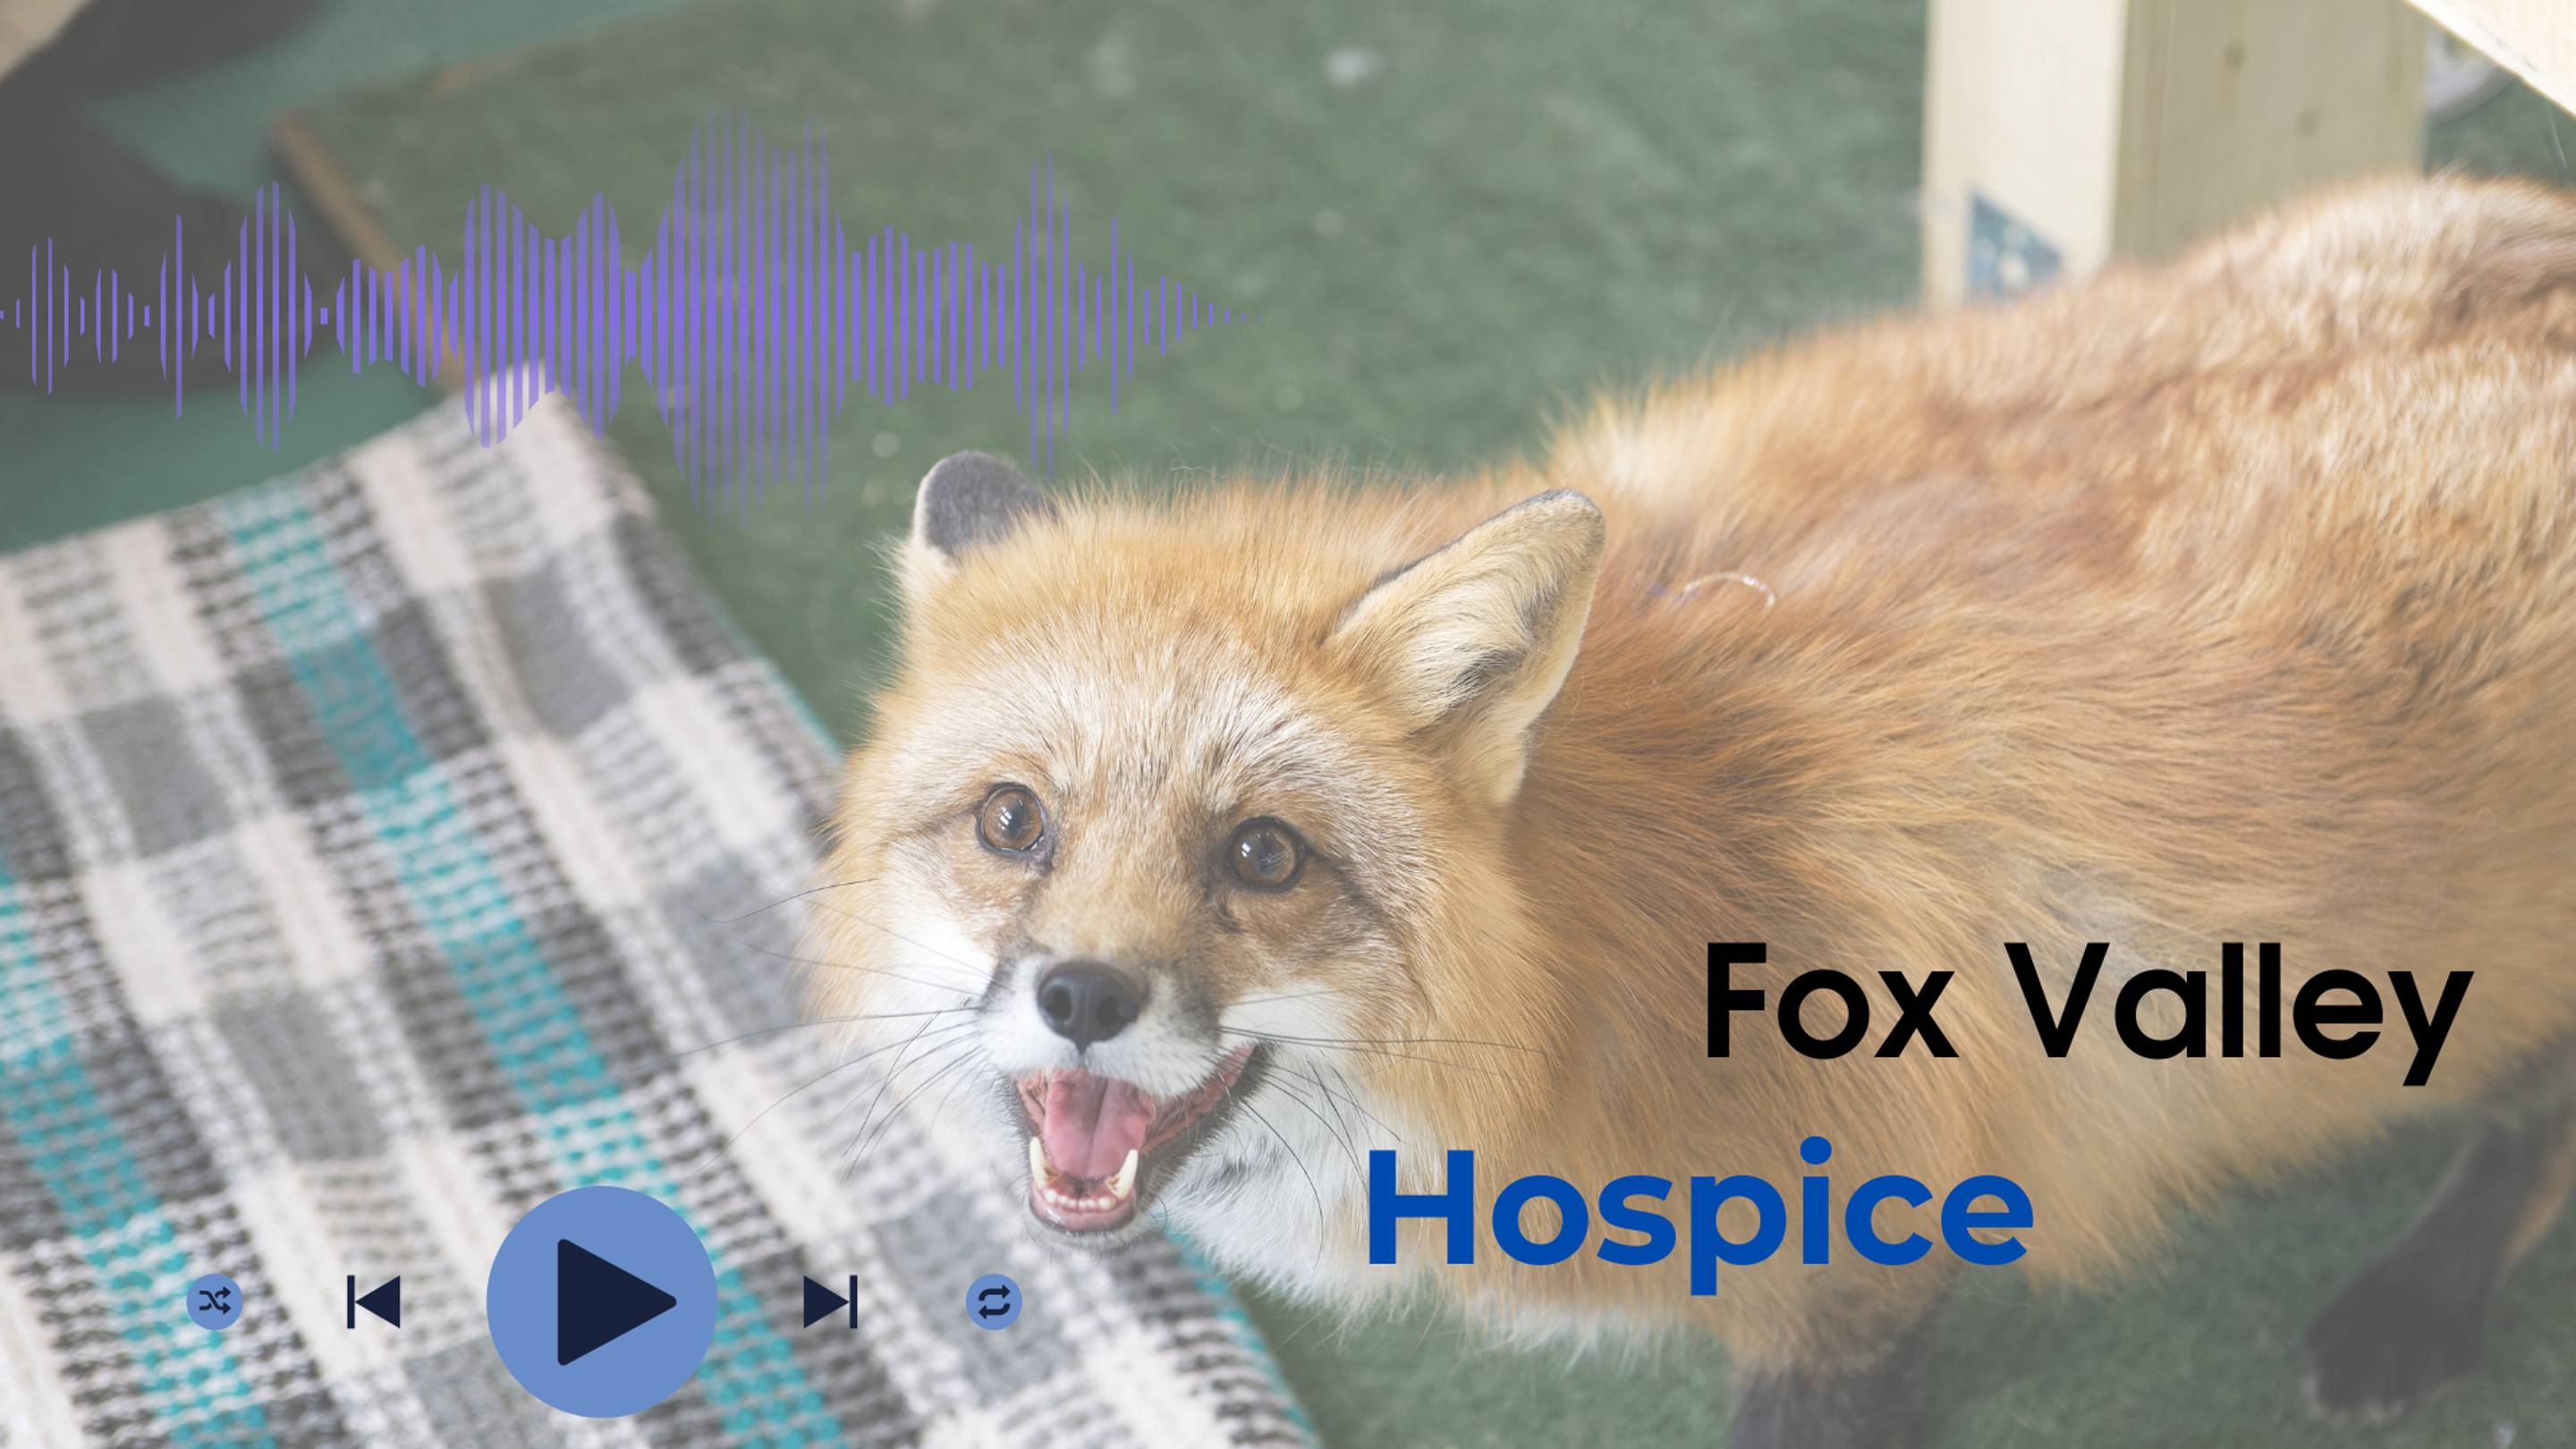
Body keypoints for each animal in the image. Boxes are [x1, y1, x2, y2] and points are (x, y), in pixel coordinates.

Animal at [810, 175, 2576, 1447]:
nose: (1081, 996)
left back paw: (2417, 1303)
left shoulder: (1859, 1251)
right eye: (1014, 824)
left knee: (2537, 1123)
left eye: (1262, 854)